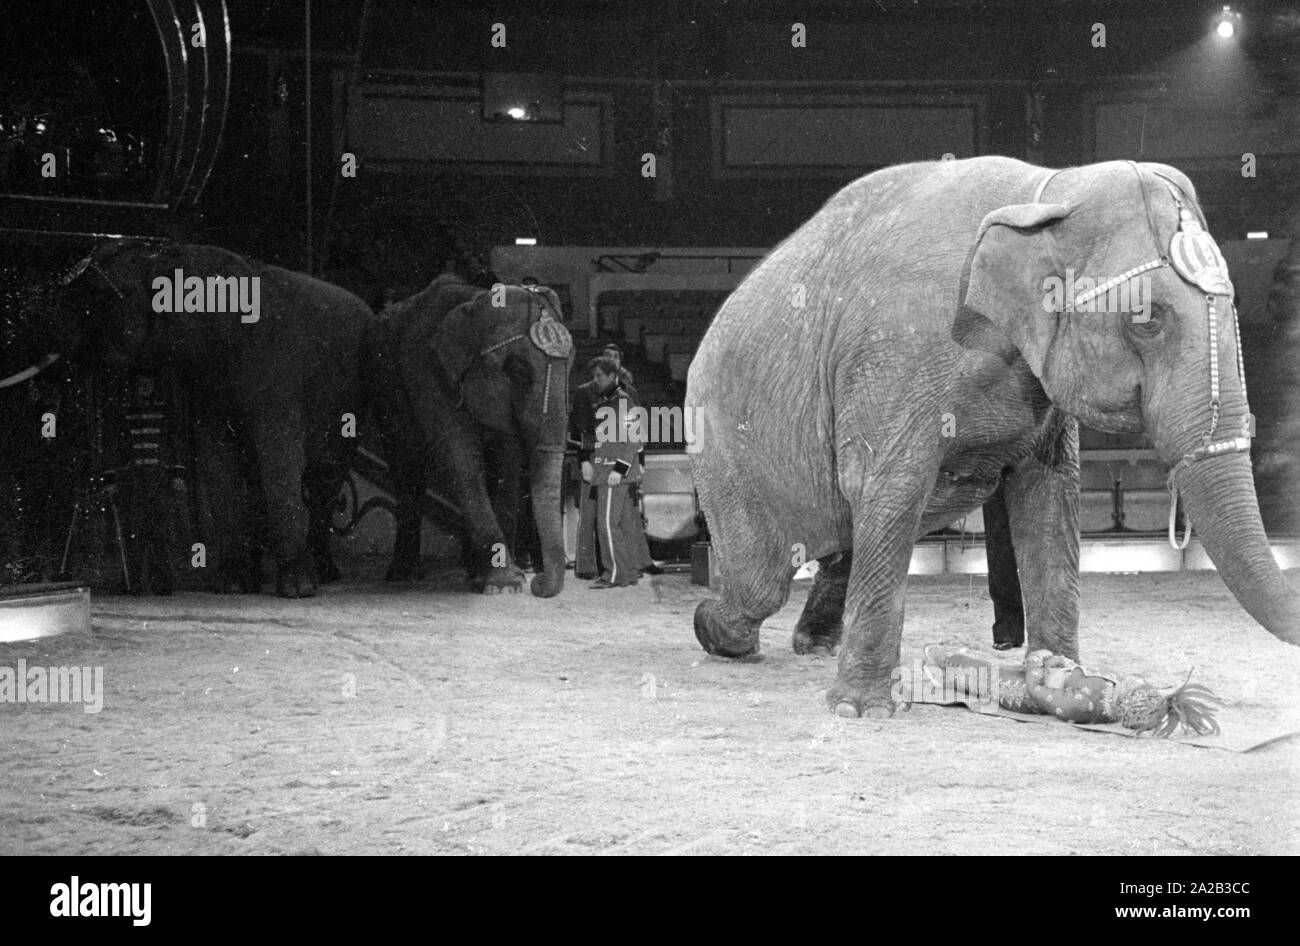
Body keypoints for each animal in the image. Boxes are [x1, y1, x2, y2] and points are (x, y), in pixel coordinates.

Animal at [52, 239, 374, 597]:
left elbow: (278, 454)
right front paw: (231, 584)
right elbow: (216, 456)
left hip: (347, 402)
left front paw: (296, 589)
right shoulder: (206, 380)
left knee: (325, 476)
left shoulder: (277, 372)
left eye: (97, 297)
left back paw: (323, 572)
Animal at [366, 275, 574, 597]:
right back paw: (405, 574)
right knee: (408, 469)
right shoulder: (428, 371)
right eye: (517, 370)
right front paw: (505, 585)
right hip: (384, 387)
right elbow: (461, 459)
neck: (475, 303)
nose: (538, 582)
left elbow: (507, 465)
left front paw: (503, 579)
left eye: (571, 365)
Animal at [687, 156, 1300, 719]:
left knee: (840, 542)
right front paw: (858, 711)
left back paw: (811, 644)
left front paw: (1056, 677)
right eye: (1147, 320)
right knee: (761, 579)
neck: (1047, 192)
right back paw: (714, 629)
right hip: (723, 448)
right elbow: (891, 487)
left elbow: (1049, 497)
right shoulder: (897, 353)